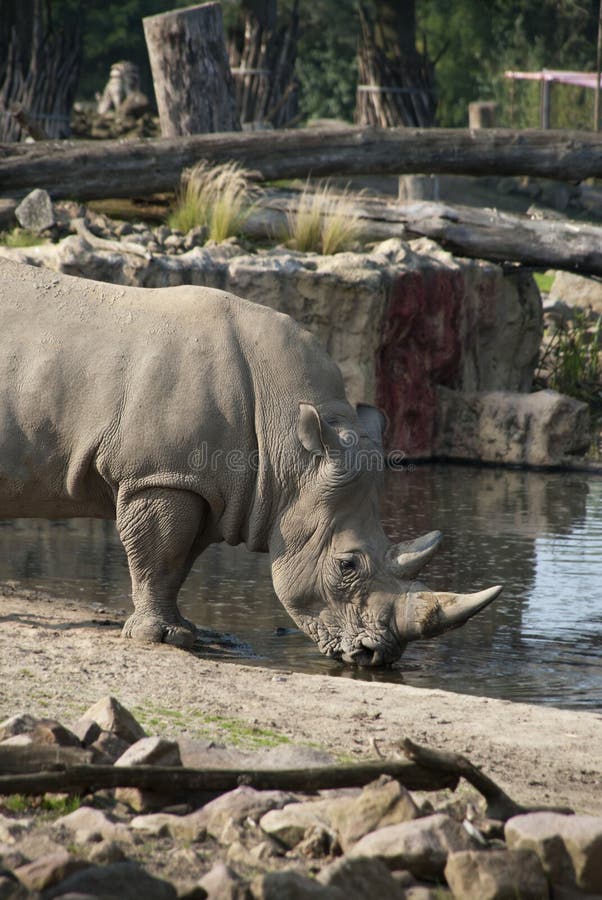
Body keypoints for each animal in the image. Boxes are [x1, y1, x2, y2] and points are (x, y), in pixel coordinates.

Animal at [0, 258, 501, 666]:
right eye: (347, 566)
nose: (376, 656)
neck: (294, 451)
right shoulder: (162, 477)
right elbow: (159, 554)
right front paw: (159, 639)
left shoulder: (210, 485)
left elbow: (179, 561)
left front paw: (182, 630)